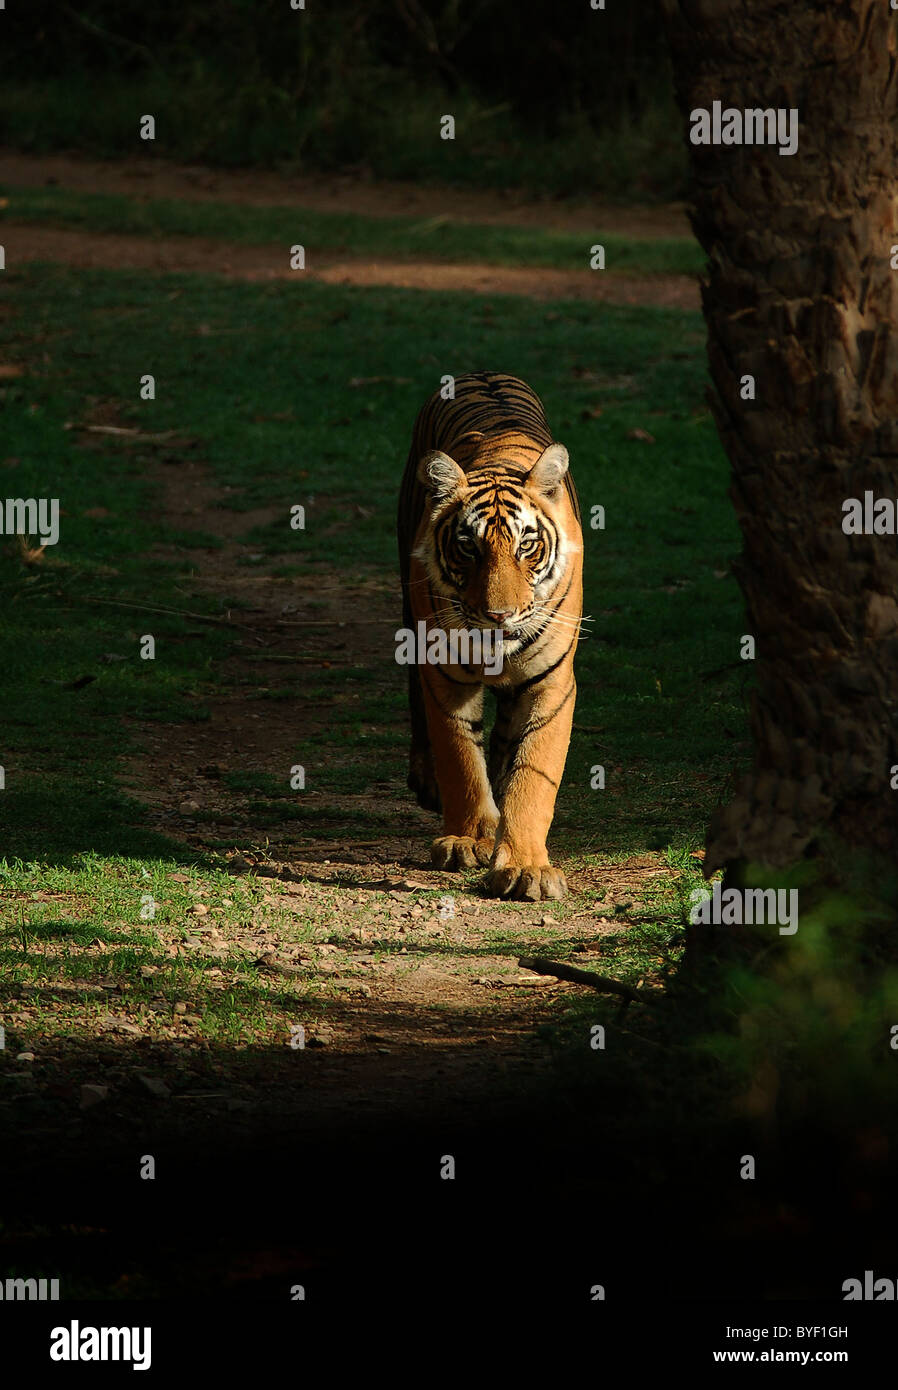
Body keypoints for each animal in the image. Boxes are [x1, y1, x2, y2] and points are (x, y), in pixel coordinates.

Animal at [397, 371, 583, 901]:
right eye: (468, 548)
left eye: (526, 546)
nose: (498, 615)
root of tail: (481, 373)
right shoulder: (444, 675)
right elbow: (460, 757)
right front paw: (468, 840)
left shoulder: (554, 684)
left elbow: (535, 774)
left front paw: (525, 867)